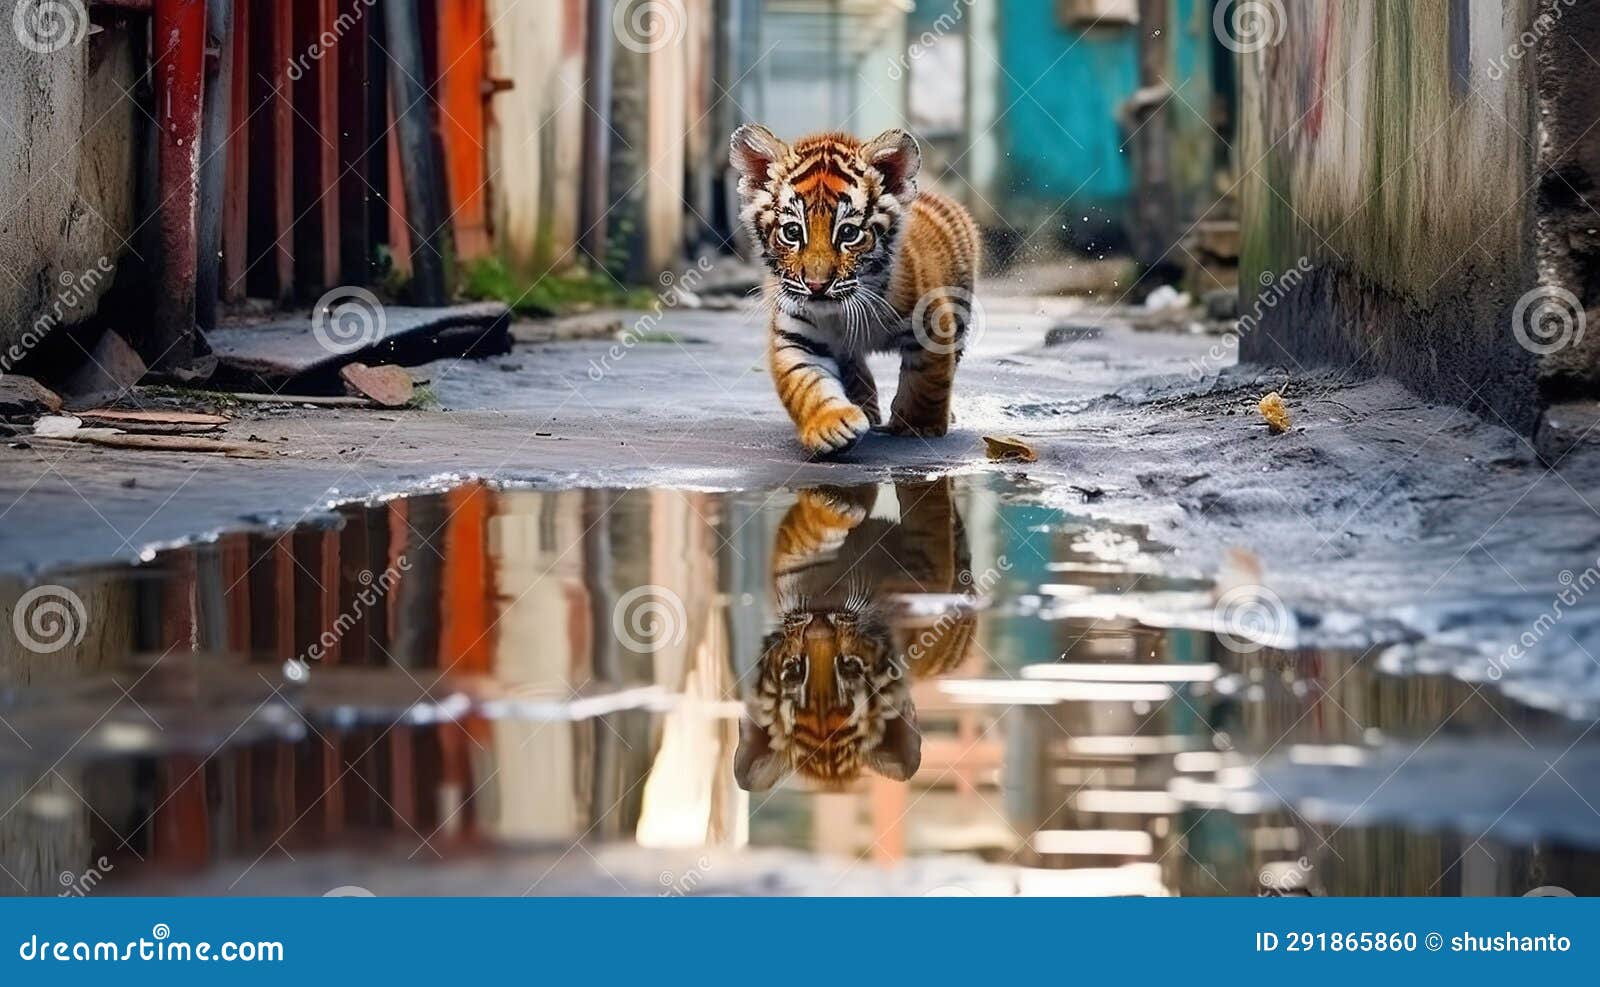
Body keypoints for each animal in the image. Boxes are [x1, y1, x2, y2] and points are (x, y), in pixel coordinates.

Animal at [729, 125, 980, 457]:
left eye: (849, 233)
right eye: (792, 232)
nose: (817, 285)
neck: (842, 311)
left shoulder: (931, 323)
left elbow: (928, 379)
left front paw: (918, 425)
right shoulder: (797, 336)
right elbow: (806, 383)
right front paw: (832, 426)